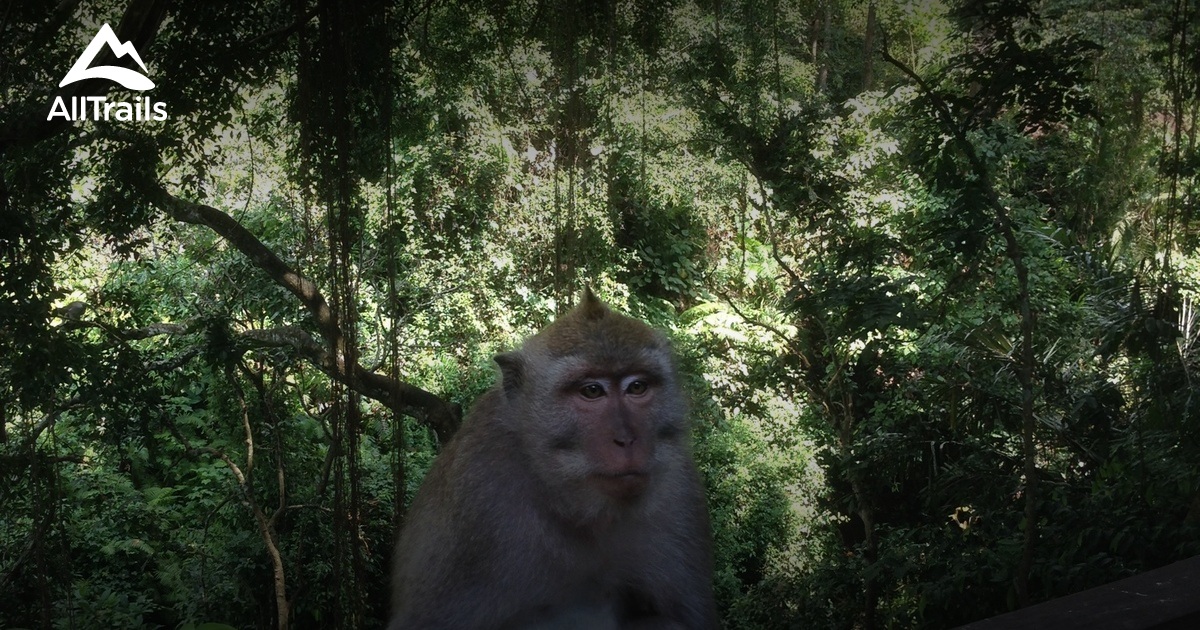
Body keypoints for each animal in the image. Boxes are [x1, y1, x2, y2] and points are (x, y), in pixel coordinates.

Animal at [388, 288, 717, 630]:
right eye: (592, 391)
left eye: (637, 387)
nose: (626, 439)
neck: (569, 503)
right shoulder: (475, 497)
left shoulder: (678, 487)